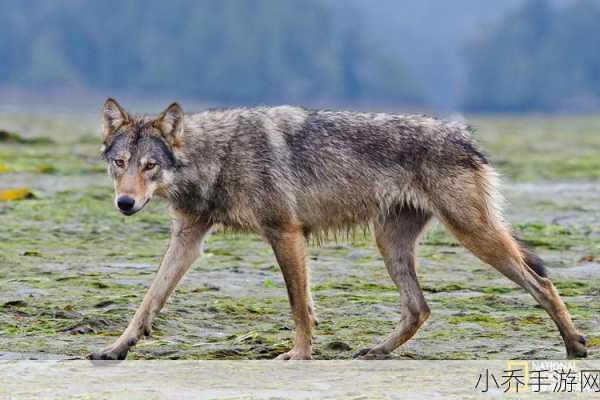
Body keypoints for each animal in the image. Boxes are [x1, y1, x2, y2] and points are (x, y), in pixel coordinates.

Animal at [88, 99, 584, 360]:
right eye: (120, 164)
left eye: (150, 166)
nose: (125, 203)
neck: (219, 156)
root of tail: (465, 135)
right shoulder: (188, 240)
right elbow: (148, 301)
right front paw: (116, 348)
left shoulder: (286, 233)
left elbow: (299, 307)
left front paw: (298, 356)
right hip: (390, 244)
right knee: (419, 308)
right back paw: (377, 351)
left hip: (473, 236)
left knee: (541, 282)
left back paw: (576, 345)